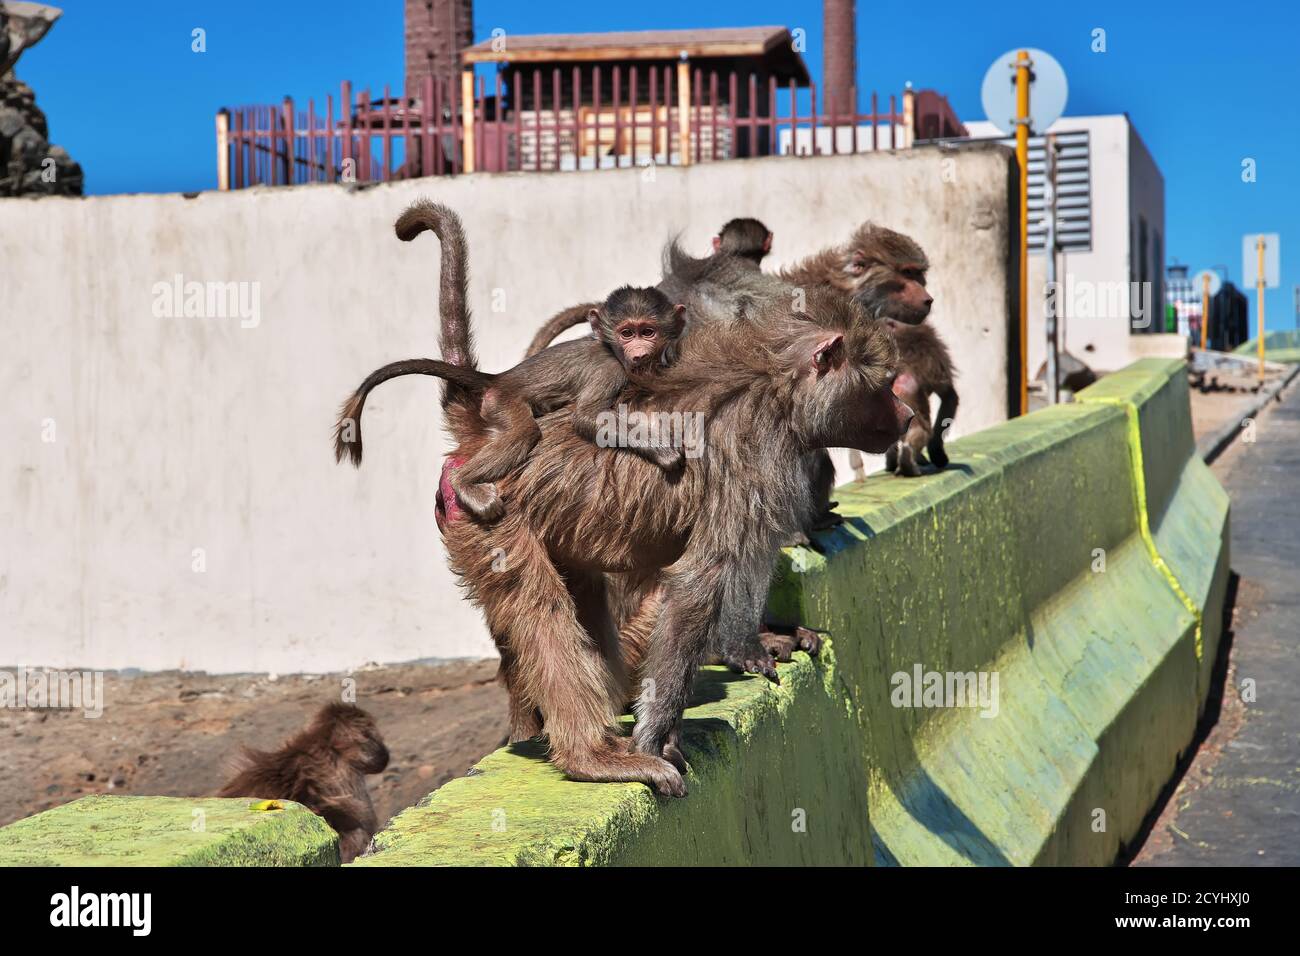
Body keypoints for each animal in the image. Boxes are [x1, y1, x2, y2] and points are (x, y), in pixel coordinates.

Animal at [335, 283, 688, 521]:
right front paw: (662, 451)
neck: (613, 351)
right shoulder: (610, 370)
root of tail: (501, 378)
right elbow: (588, 419)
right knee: (524, 433)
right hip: (502, 402)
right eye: (627, 333)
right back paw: (464, 483)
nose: (639, 354)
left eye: (648, 332)